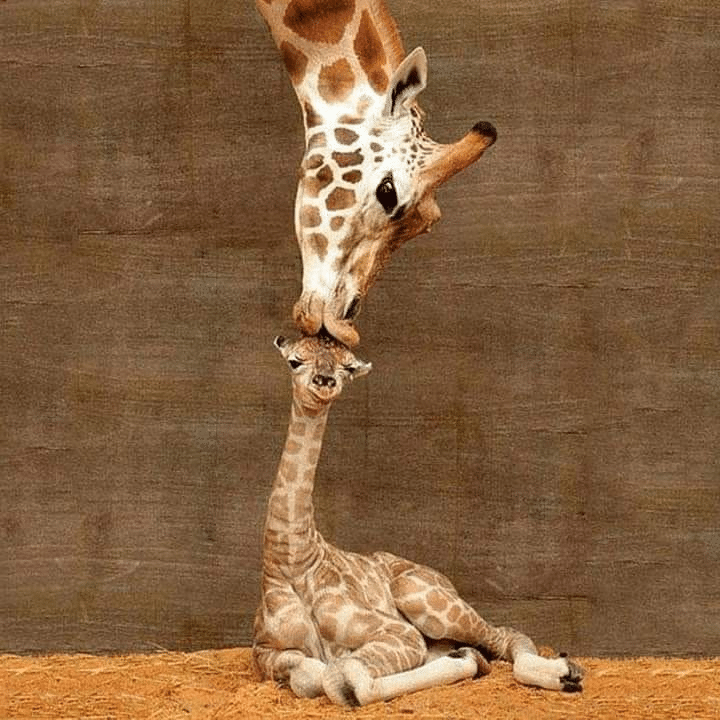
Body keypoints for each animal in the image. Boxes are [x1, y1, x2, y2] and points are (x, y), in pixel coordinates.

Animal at [253, 334, 584, 706]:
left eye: (348, 368)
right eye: (295, 361)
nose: (324, 382)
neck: (291, 558)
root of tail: (444, 580)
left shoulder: (399, 631)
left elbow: (340, 677)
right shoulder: (263, 652)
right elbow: (308, 674)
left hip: (423, 598)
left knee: (505, 636)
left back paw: (565, 672)